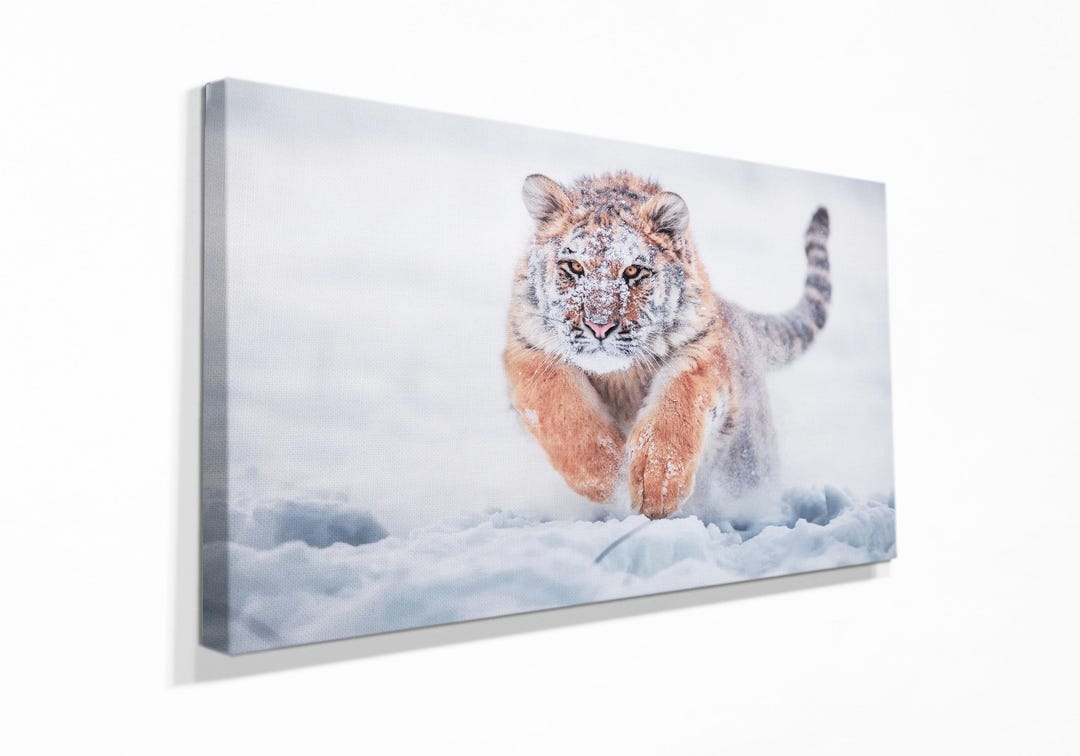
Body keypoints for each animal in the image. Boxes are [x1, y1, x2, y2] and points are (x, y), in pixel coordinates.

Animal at [503, 171, 831, 519]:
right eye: (575, 267)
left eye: (633, 271)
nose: (599, 325)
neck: (618, 377)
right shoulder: (528, 351)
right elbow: (564, 414)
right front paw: (610, 477)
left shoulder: (701, 351)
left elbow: (677, 406)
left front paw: (657, 485)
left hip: (750, 462)